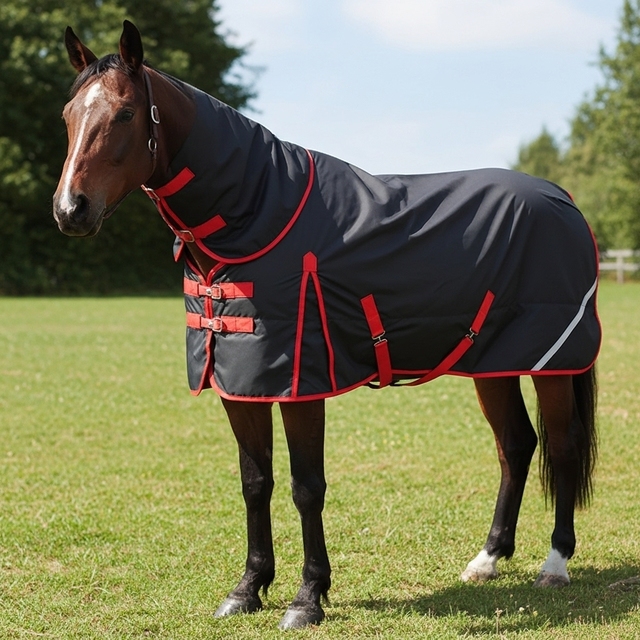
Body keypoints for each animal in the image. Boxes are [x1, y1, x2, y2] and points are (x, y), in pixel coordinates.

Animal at [53, 21, 600, 630]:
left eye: (125, 113)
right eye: (69, 114)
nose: (70, 209)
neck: (258, 215)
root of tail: (562, 198)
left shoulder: (300, 383)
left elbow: (305, 487)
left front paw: (307, 597)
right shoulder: (240, 385)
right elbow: (255, 482)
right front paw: (248, 589)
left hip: (552, 361)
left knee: (563, 446)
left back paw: (555, 564)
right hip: (493, 362)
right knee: (516, 445)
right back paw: (487, 559)